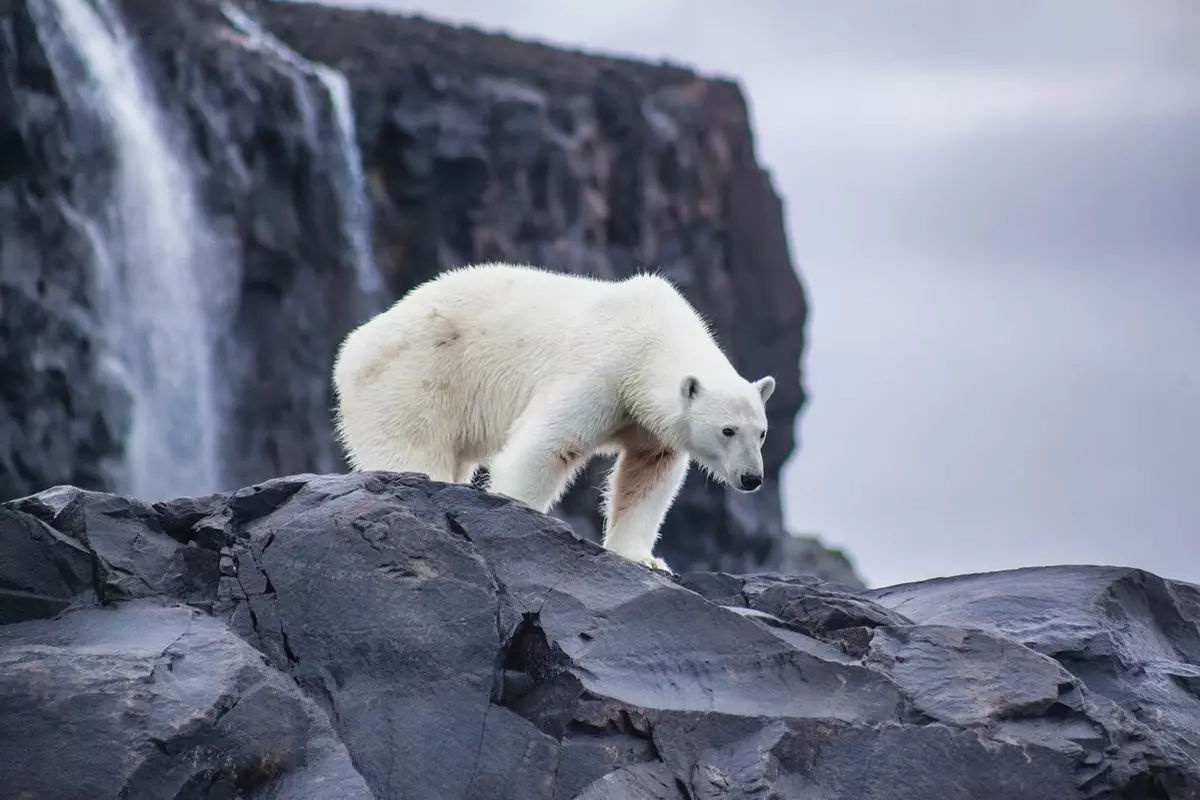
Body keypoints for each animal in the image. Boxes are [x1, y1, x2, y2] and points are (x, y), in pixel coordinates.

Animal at [331, 266, 777, 573]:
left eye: (761, 433)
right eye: (727, 430)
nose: (751, 478)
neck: (651, 335)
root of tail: (353, 346)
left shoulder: (648, 422)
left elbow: (648, 475)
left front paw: (644, 559)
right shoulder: (602, 371)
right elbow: (545, 445)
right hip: (415, 378)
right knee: (411, 445)